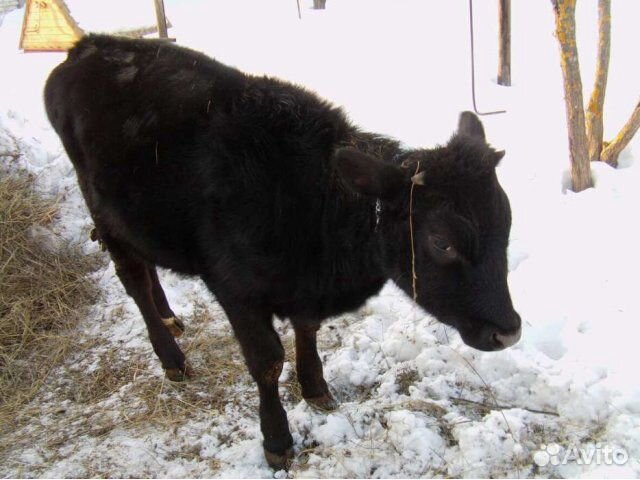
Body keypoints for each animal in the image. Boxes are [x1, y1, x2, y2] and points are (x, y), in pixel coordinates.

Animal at [44, 34, 521, 470]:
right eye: (442, 241)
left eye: (507, 225)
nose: (509, 332)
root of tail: (88, 46)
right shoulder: (235, 290)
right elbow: (268, 362)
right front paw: (276, 441)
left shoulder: (305, 288)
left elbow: (307, 330)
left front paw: (316, 389)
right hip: (102, 209)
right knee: (133, 278)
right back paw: (172, 358)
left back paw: (169, 316)